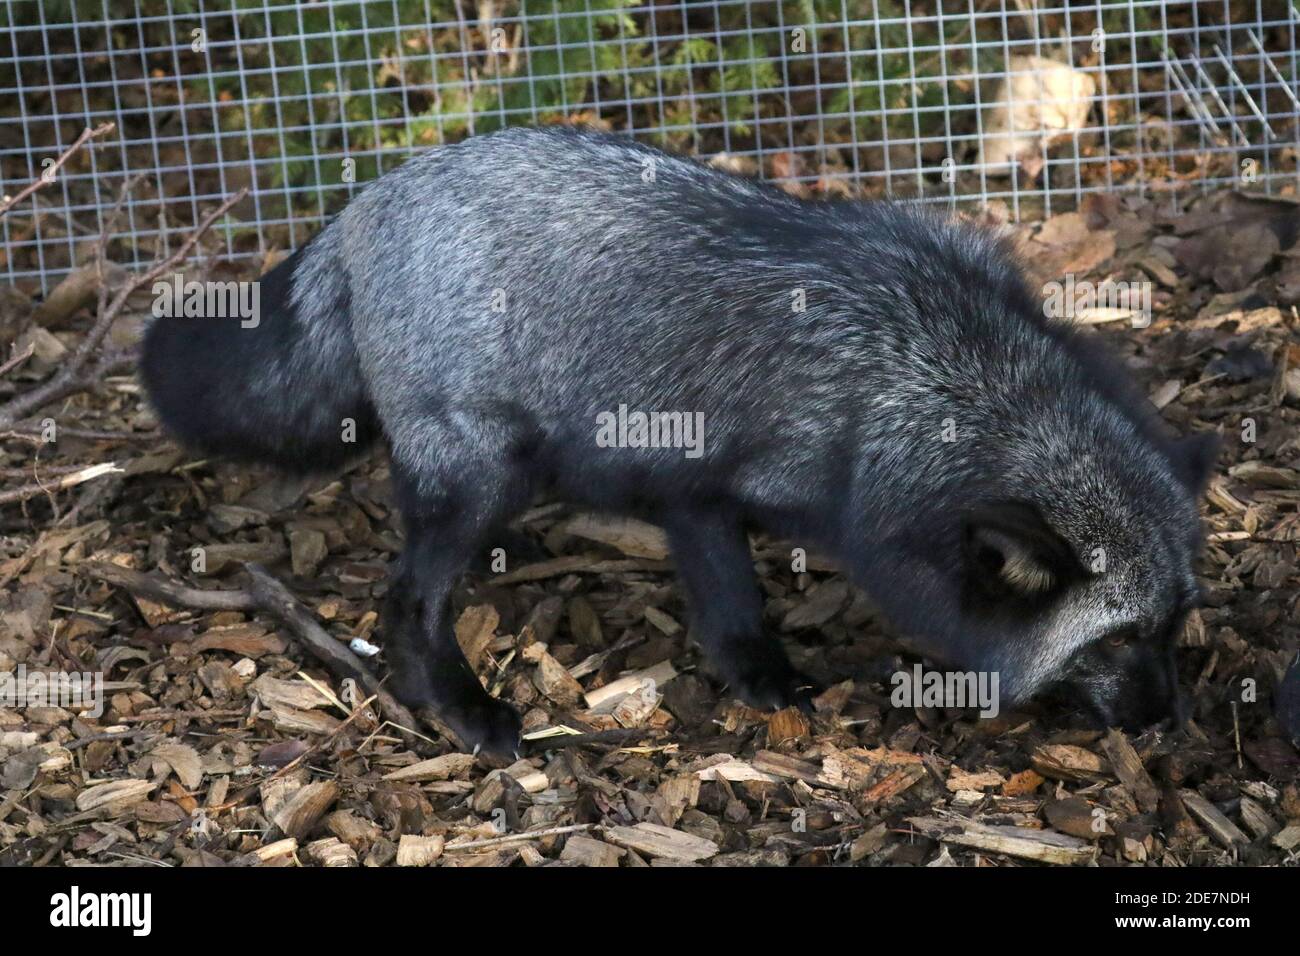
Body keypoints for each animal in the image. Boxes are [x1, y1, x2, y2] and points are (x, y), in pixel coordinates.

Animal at [141, 126, 1215, 756]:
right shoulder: (700, 489)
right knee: (409, 600)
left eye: (1175, 631)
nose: (1167, 722)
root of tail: (368, 200)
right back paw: (459, 708)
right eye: (1120, 639)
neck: (916, 380)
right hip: (482, 470)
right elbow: (737, 606)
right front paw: (769, 686)